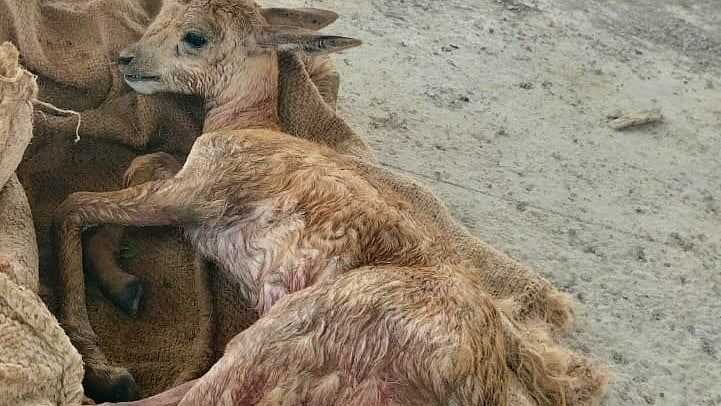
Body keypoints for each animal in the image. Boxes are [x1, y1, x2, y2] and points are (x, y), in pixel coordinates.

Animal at [55, 0, 586, 404]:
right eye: (160, 14)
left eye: (196, 36)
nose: (125, 59)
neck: (247, 124)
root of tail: (481, 374)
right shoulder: (187, 192)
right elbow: (146, 163)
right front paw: (125, 286)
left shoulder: (203, 188)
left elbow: (74, 204)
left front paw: (99, 348)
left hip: (293, 332)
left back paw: (112, 380)